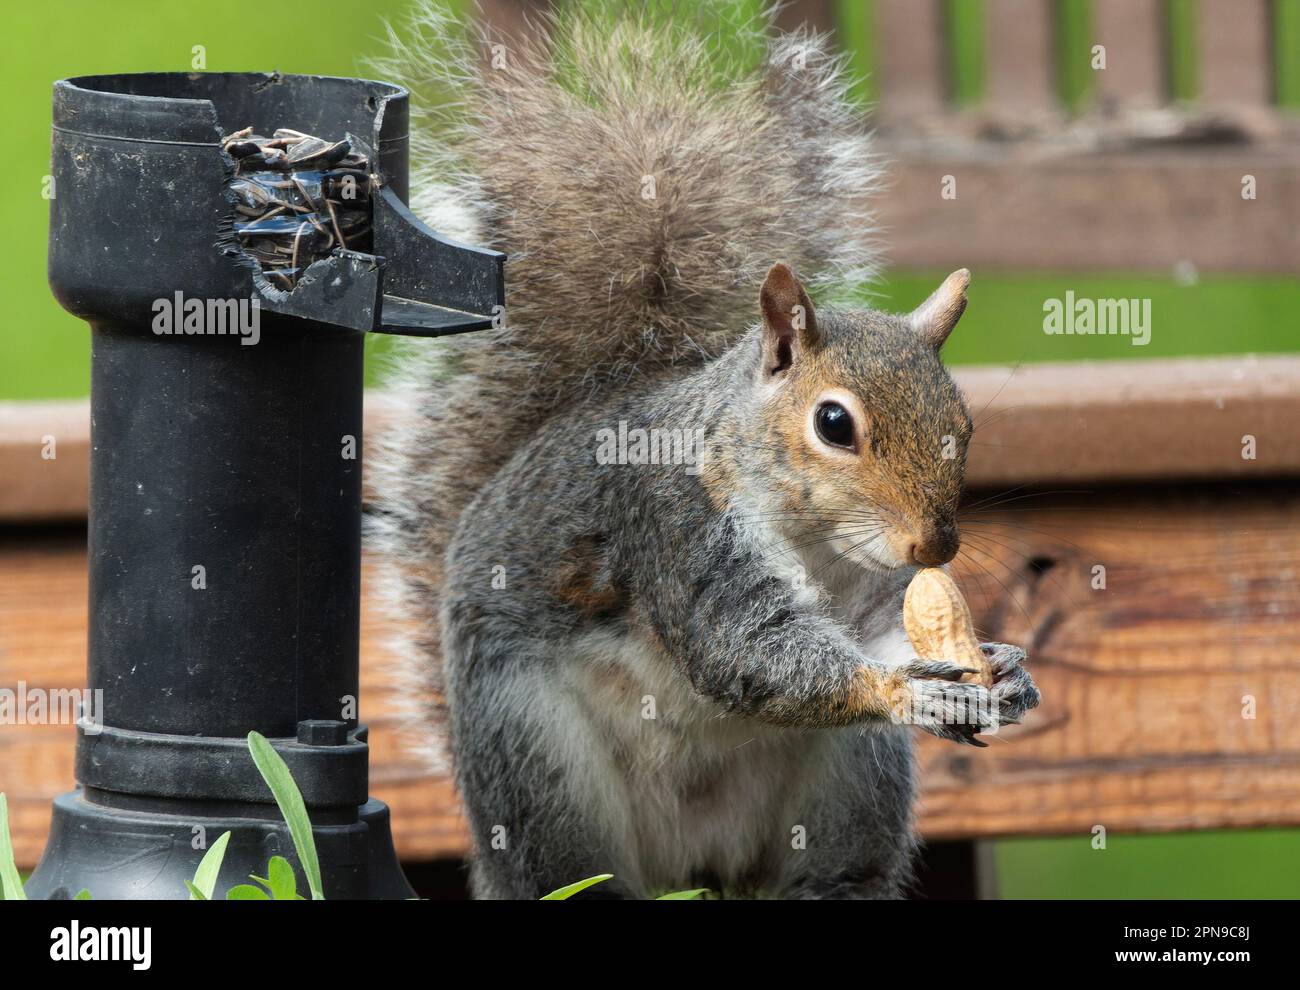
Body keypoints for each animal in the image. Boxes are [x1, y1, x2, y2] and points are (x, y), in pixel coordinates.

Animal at [370, 1, 1040, 899]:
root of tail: (692, 864)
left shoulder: (873, 598)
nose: (935, 546)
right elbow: (747, 654)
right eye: (835, 424)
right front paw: (900, 690)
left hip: (851, 787)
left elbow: (883, 633)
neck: (816, 542)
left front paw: (1002, 670)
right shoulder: (677, 532)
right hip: (540, 767)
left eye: (964, 425)